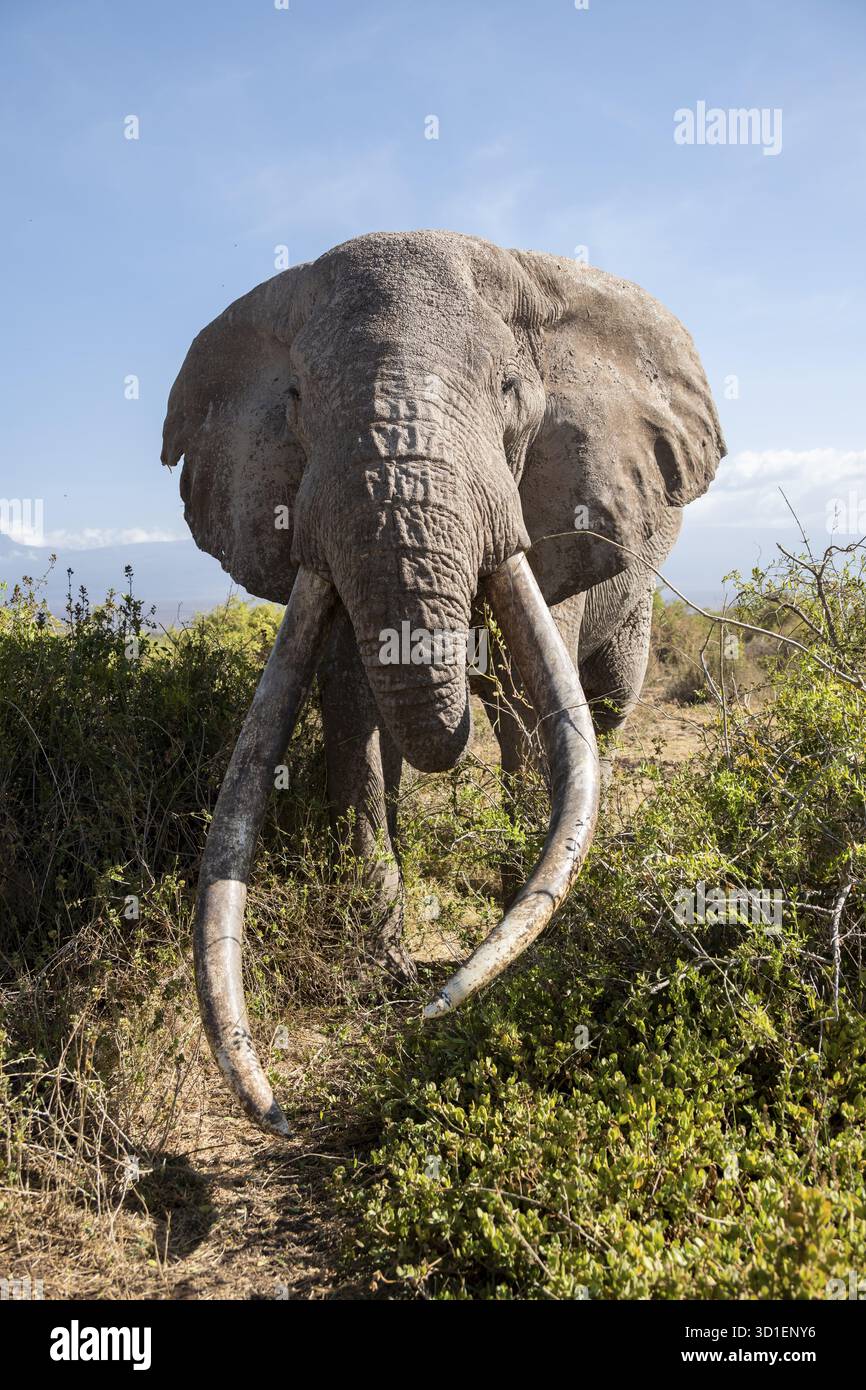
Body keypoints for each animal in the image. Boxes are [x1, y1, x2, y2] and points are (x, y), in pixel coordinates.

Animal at [161, 230, 725, 1135]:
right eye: (295, 404)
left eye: (509, 391)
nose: (280, 1118)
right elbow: (352, 704)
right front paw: (381, 966)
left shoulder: (557, 498)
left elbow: (534, 704)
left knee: (603, 701)